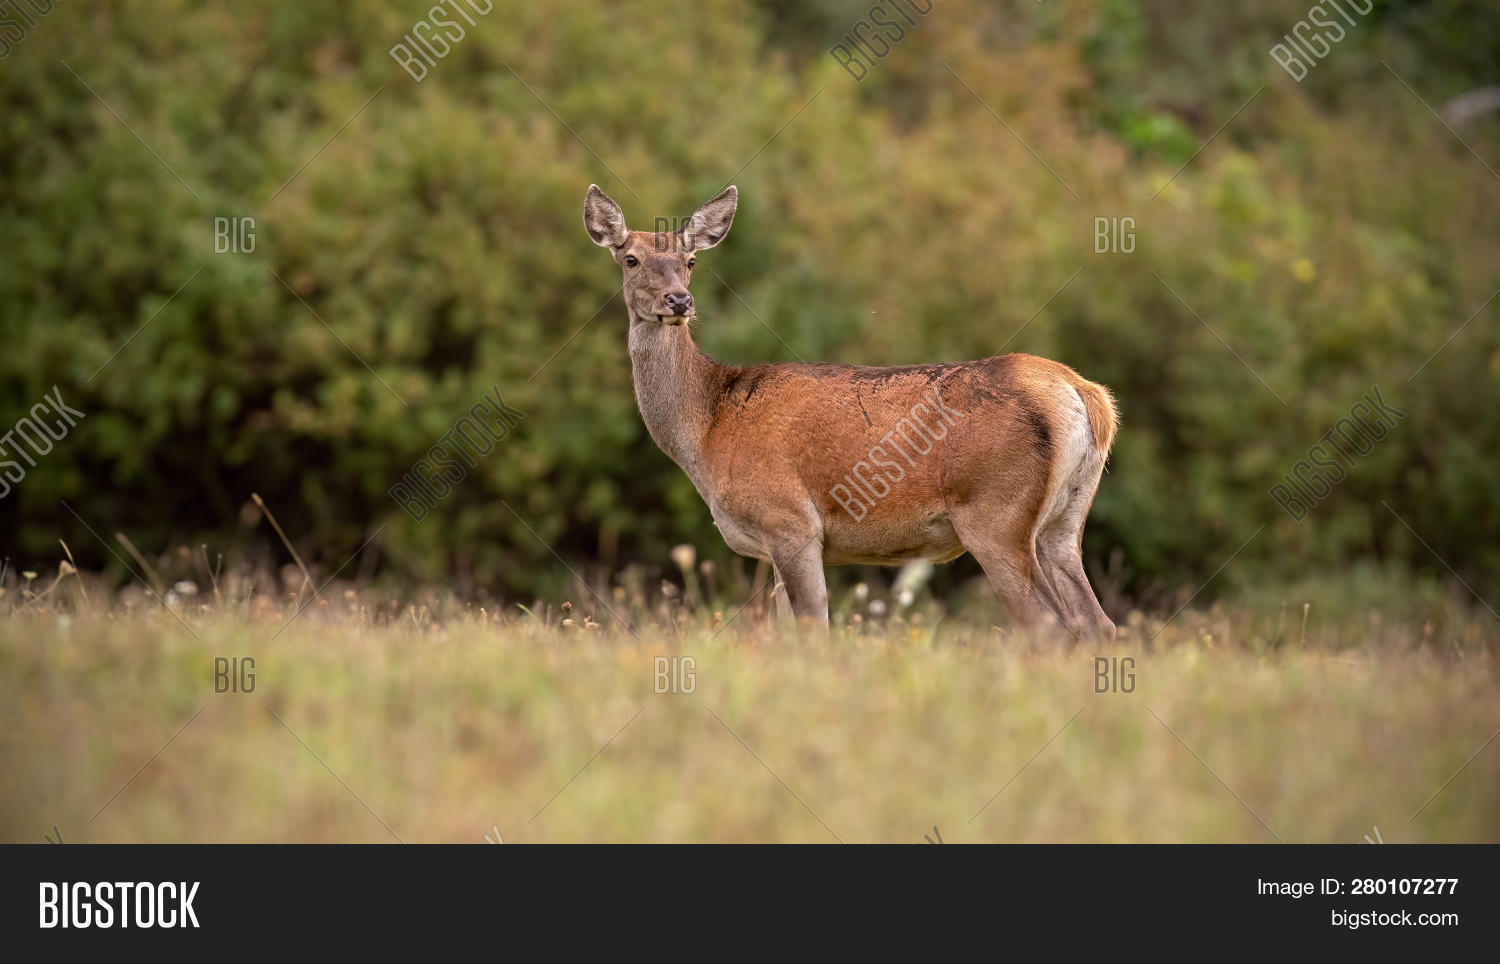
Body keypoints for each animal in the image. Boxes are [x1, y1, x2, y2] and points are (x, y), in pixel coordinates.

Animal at [583, 183, 1118, 637]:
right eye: (630, 258)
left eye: (691, 260)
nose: (679, 300)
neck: (708, 428)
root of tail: (1085, 395)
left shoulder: (789, 520)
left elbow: (813, 629)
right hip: (1064, 520)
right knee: (1097, 623)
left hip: (995, 513)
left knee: (1050, 628)